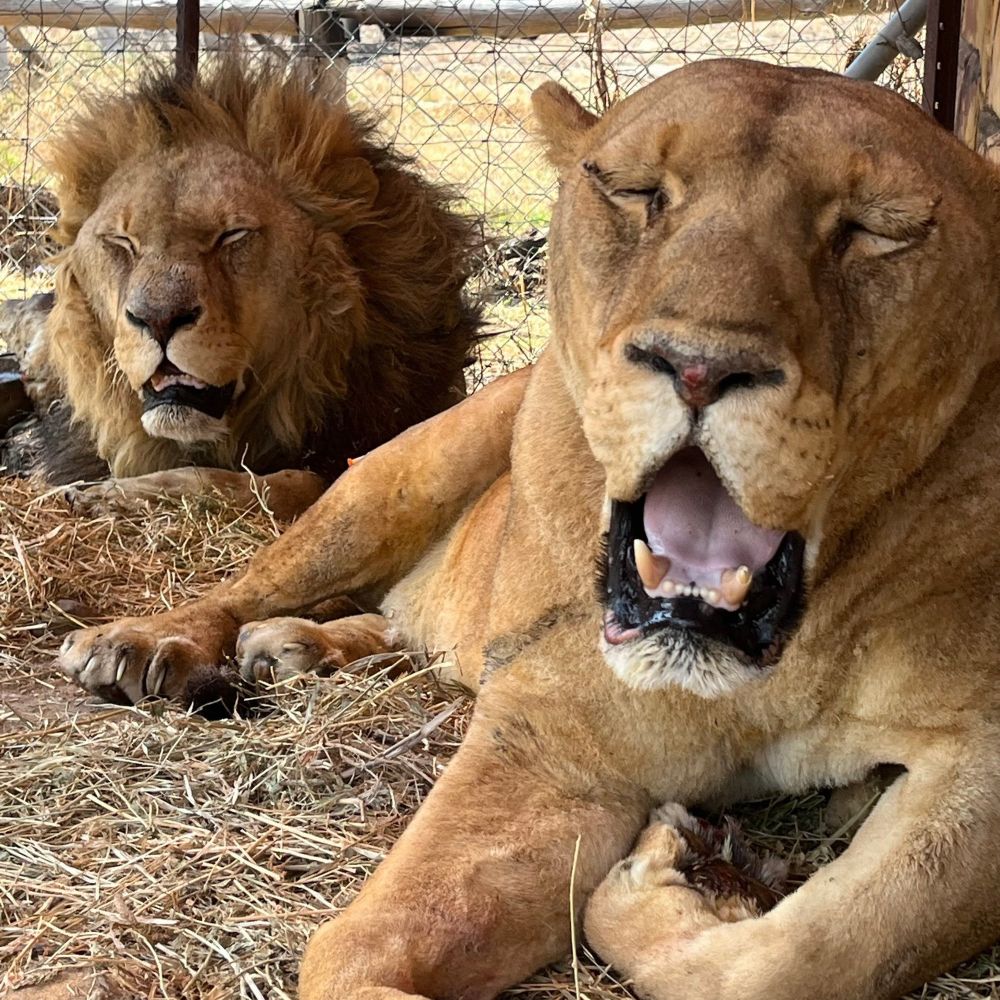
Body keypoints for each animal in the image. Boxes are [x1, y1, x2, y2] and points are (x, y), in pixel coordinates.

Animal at [57, 59, 1000, 1000]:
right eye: (636, 193)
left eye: (874, 231)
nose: (699, 368)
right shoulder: (559, 745)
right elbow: (360, 947)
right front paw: (665, 864)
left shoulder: (979, 757)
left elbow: (816, 951)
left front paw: (665, 876)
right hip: (407, 473)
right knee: (259, 577)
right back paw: (149, 642)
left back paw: (296, 649)